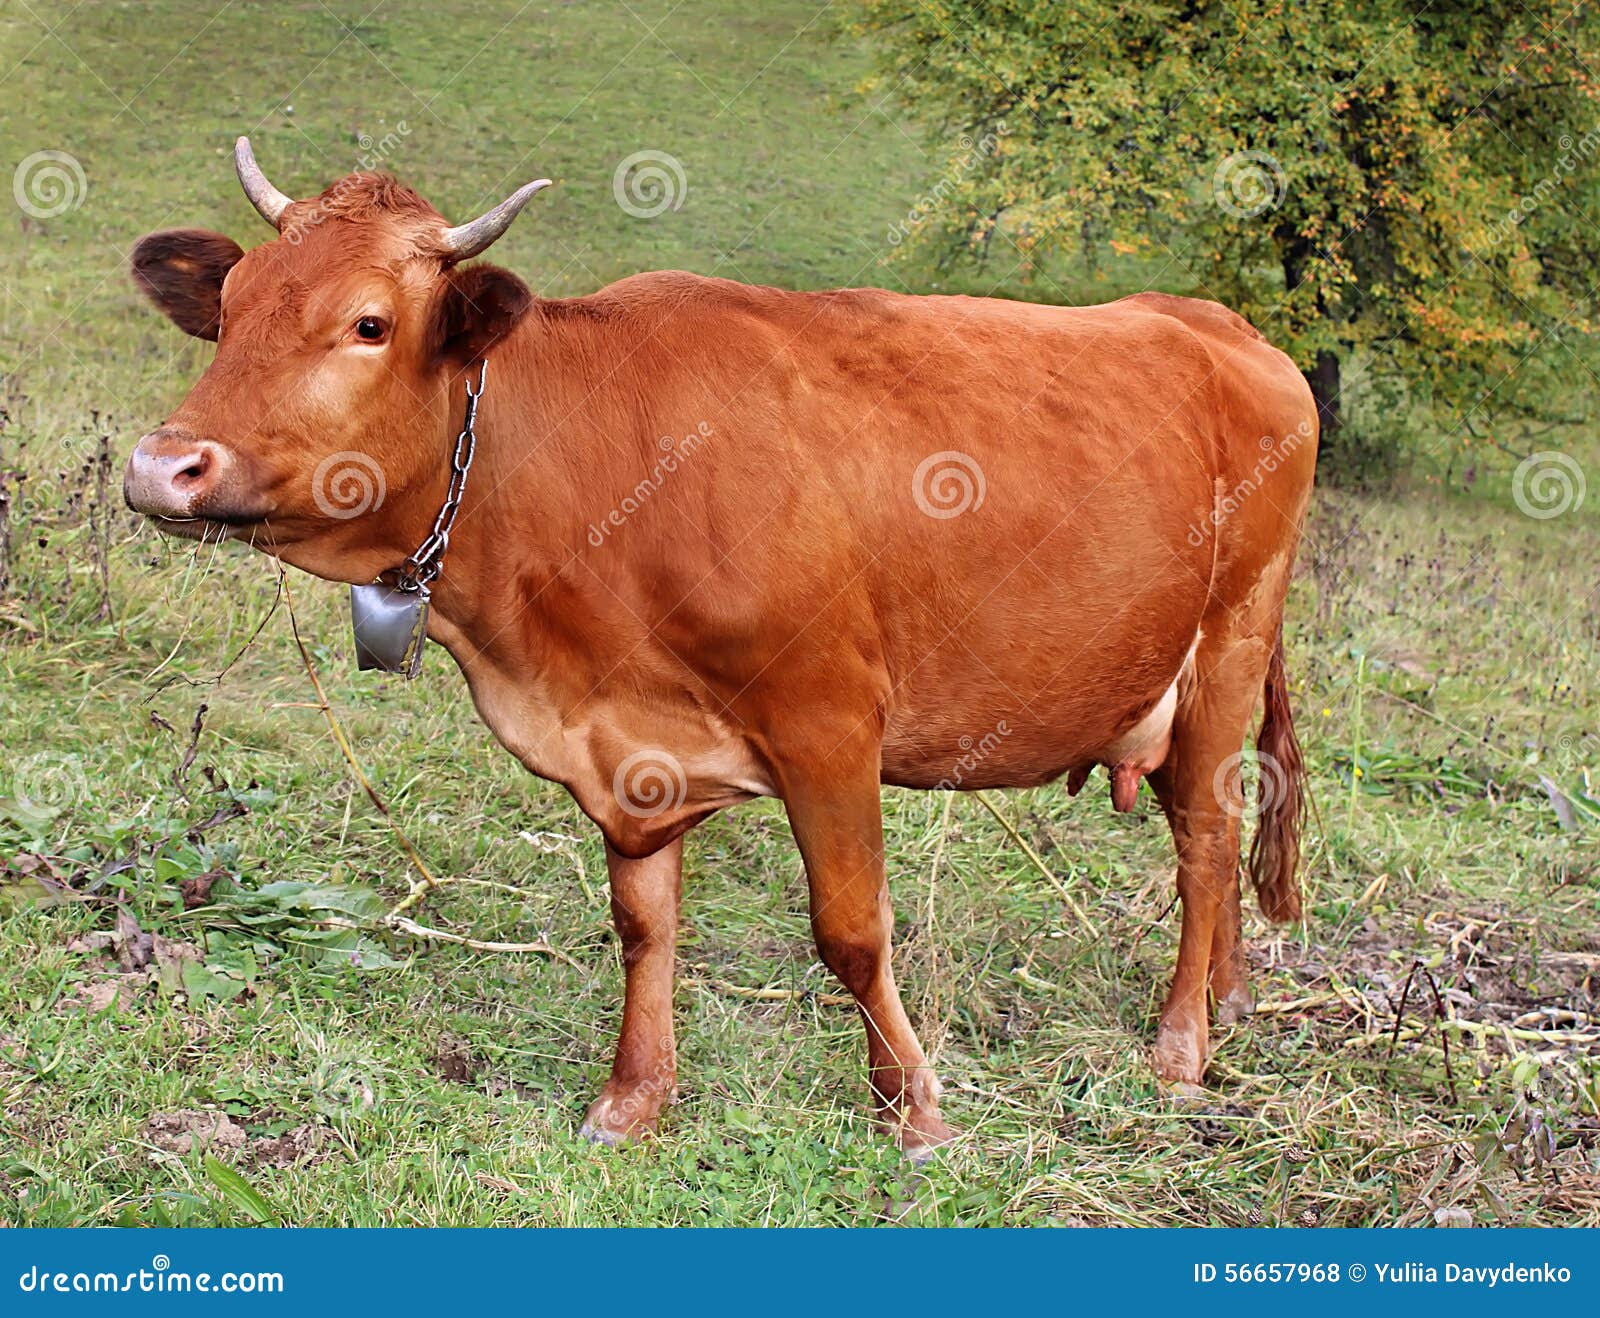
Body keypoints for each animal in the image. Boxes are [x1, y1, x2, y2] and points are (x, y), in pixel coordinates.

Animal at [124, 139, 1316, 1159]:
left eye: (369, 324)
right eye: (230, 307)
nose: (161, 467)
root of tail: (1215, 323)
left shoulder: (828, 717)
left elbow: (850, 930)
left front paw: (914, 1110)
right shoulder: (626, 749)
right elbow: (643, 924)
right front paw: (632, 1098)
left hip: (1229, 636)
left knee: (1207, 838)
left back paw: (1180, 1047)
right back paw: (1228, 996)